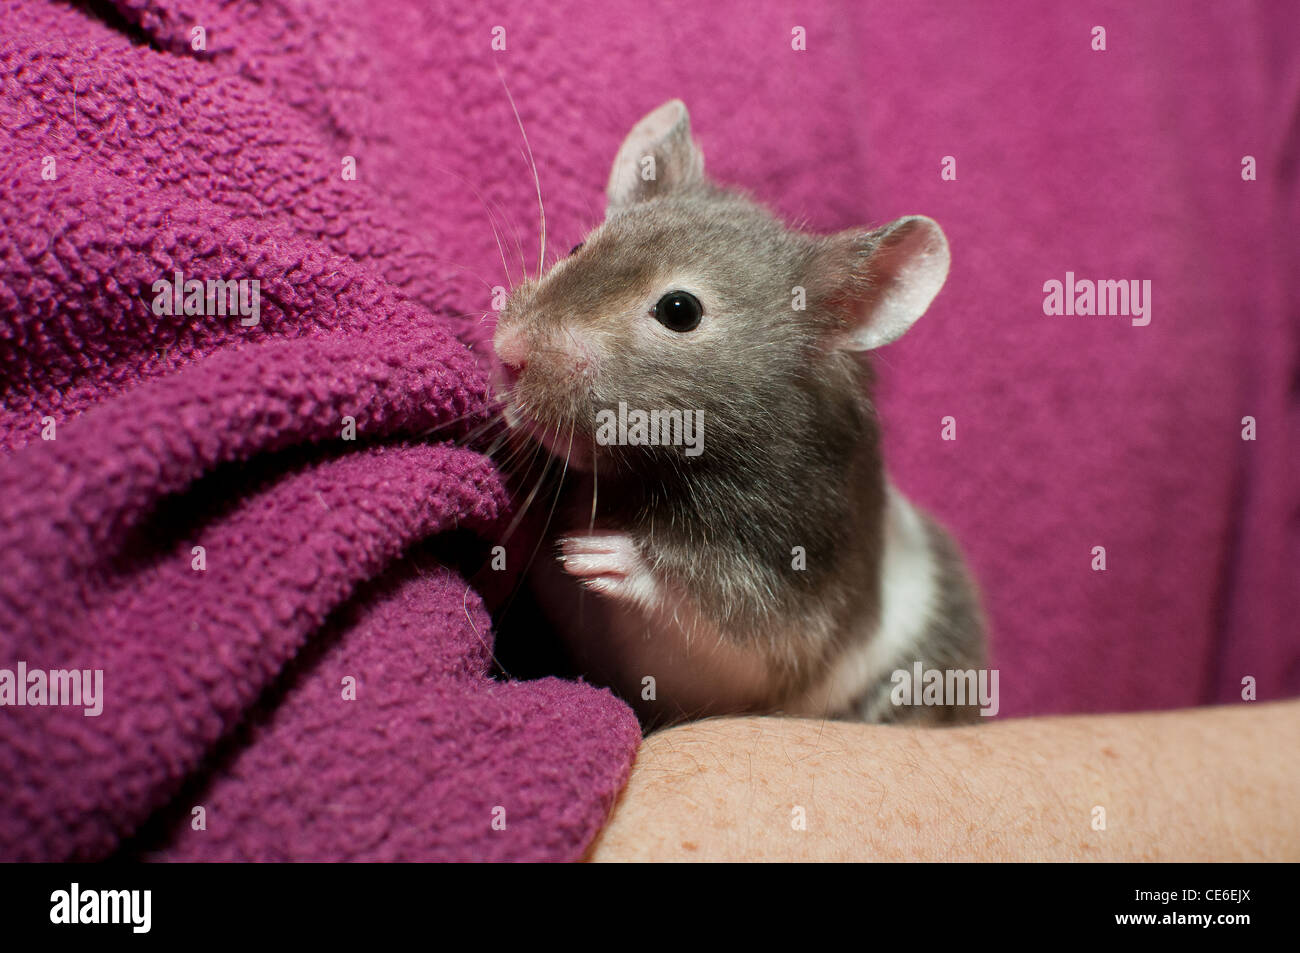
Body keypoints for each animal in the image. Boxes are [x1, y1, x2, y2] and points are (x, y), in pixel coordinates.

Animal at [492, 100, 986, 728]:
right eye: (579, 248)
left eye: (680, 310)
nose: (507, 353)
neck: (655, 473)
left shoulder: (789, 603)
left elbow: (735, 622)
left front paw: (604, 555)